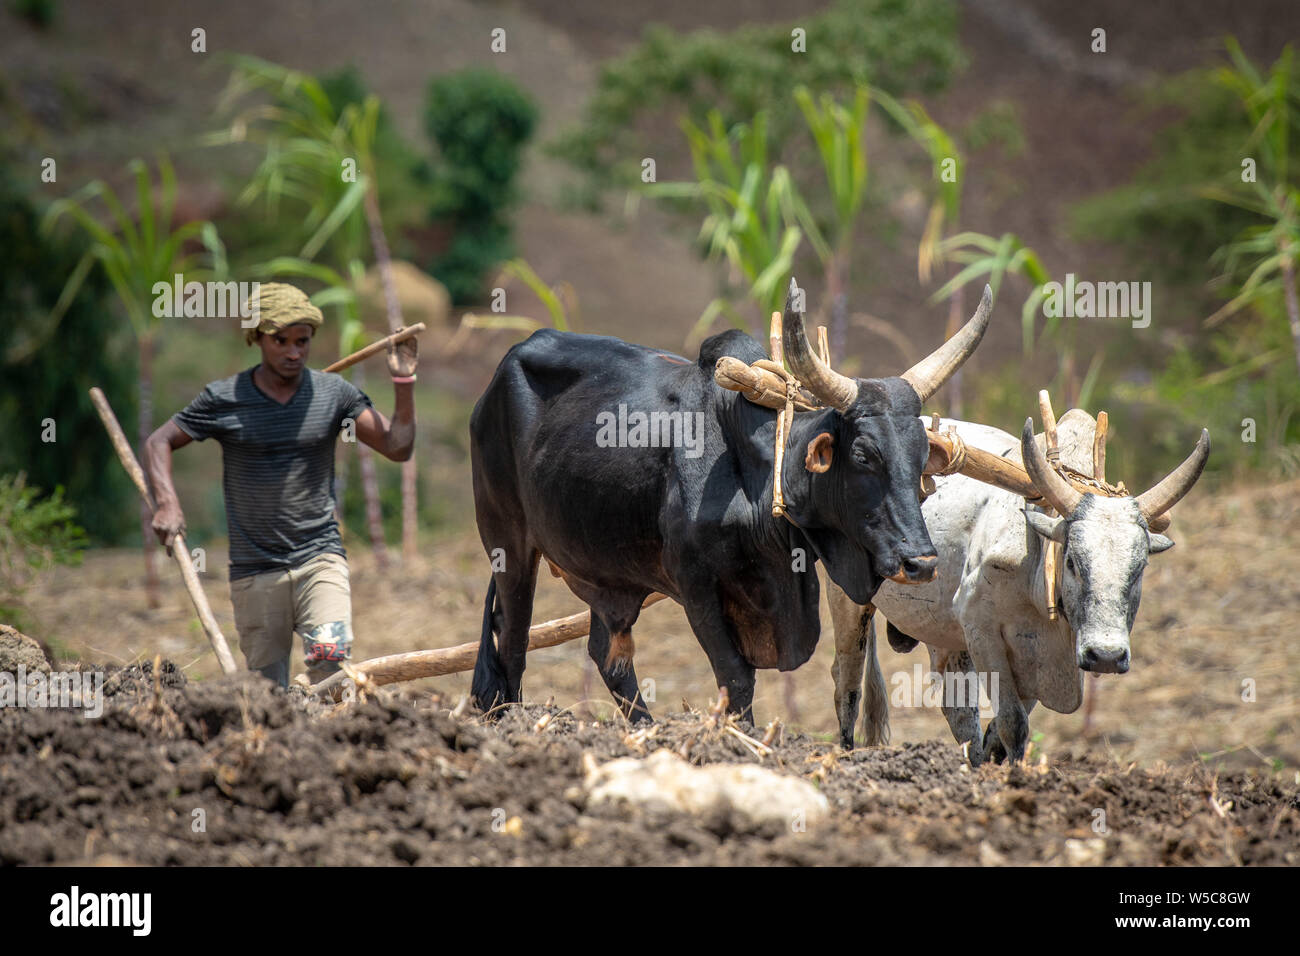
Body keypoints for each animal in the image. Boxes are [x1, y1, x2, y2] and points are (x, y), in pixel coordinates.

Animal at [468, 280, 993, 725]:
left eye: (922, 458)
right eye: (864, 455)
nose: (920, 562)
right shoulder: (695, 584)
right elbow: (736, 679)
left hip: (606, 572)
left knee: (607, 653)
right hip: (508, 544)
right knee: (512, 640)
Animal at [828, 409, 1209, 764]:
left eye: (1140, 567)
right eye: (1072, 563)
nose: (1106, 656)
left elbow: (997, 731)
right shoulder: (983, 633)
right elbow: (1012, 723)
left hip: (946, 635)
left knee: (958, 712)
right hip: (849, 601)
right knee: (847, 683)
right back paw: (844, 753)